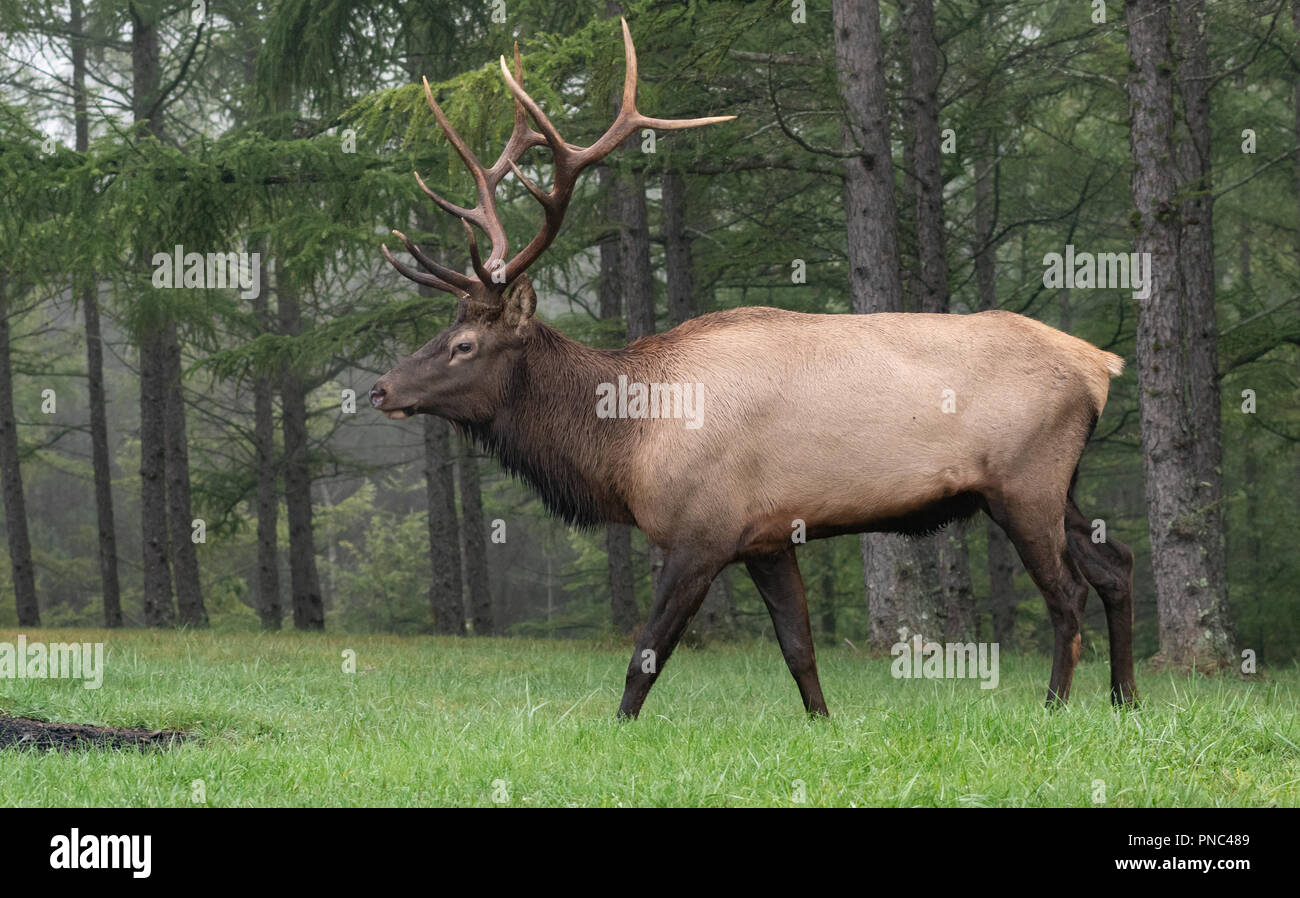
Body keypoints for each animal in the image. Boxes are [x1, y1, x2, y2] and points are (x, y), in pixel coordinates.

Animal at [369, 19, 1138, 718]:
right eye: (446, 331)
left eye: (465, 345)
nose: (379, 389)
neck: (625, 442)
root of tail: (1100, 363)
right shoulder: (768, 538)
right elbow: (800, 651)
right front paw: (825, 724)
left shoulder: (702, 531)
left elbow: (646, 655)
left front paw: (618, 730)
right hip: (1061, 482)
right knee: (1118, 568)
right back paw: (1125, 701)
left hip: (1023, 481)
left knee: (1068, 595)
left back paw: (1056, 708)